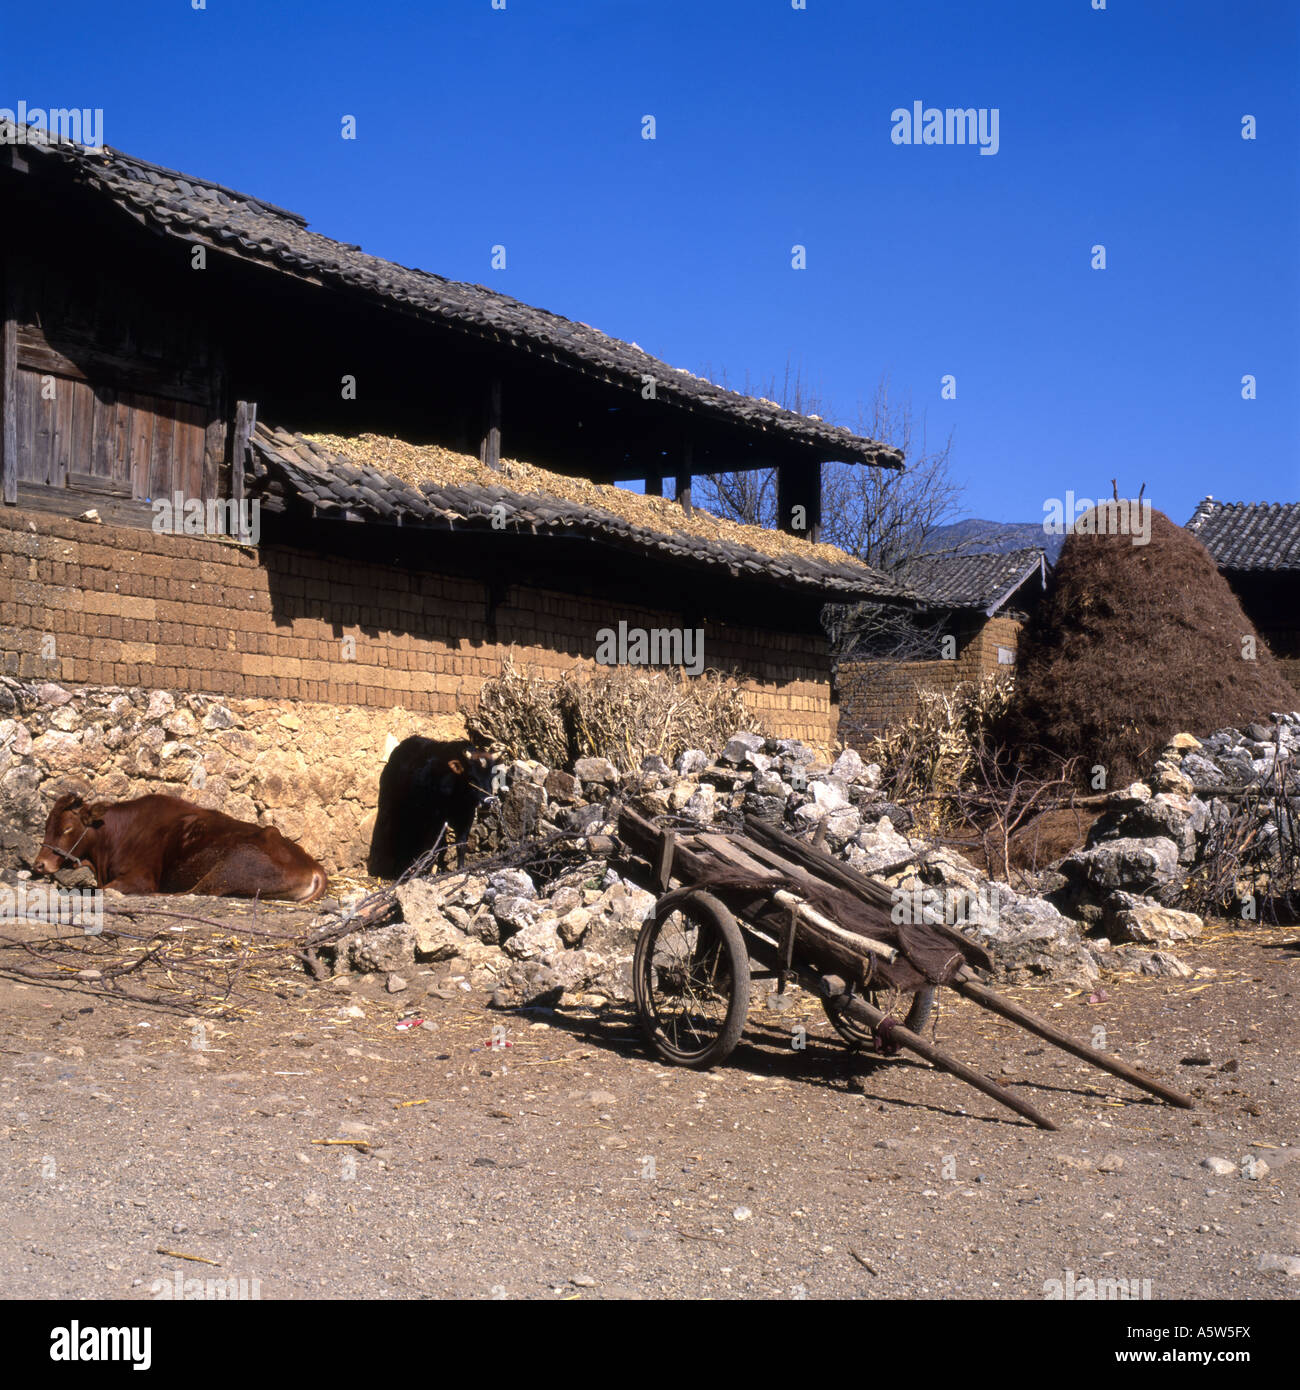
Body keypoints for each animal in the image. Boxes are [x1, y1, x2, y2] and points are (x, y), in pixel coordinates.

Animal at [33, 792, 328, 902]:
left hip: (226, 872)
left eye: (67, 828)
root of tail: (314, 867)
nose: (39, 864)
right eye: (46, 825)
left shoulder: (137, 879)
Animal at [367, 738, 502, 879]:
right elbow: (434, 846)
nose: (487, 802)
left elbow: (460, 844)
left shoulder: (466, 816)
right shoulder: (436, 819)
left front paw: (460, 869)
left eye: (492, 777)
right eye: (472, 777)